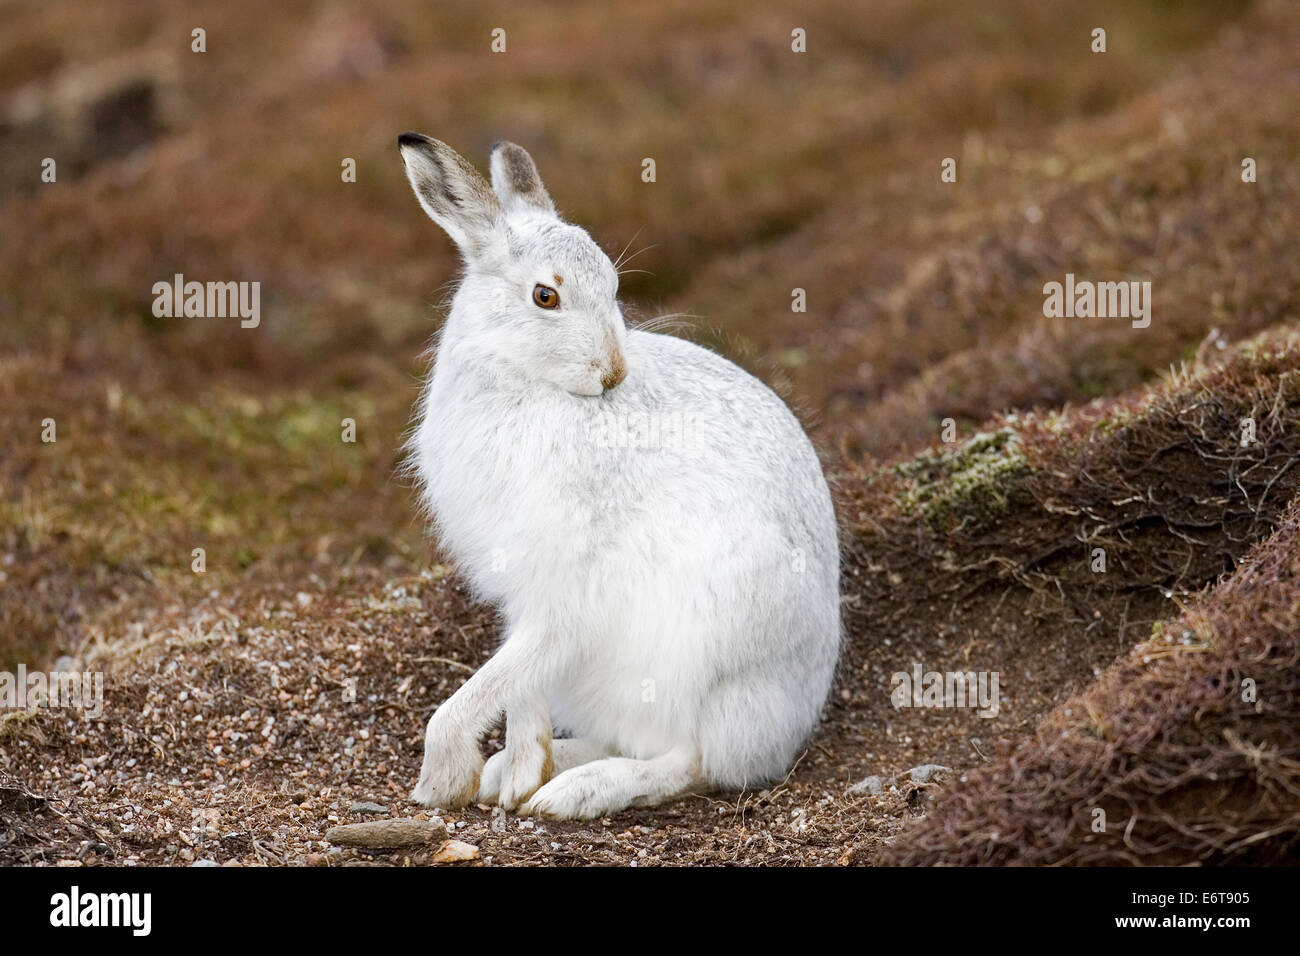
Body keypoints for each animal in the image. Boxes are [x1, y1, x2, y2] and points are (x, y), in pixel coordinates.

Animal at [397, 132, 841, 820]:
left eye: (611, 284)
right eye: (545, 296)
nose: (613, 372)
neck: (534, 386)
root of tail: (794, 720)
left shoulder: (564, 586)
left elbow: (501, 676)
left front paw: (442, 780)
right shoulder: (525, 593)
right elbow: (521, 678)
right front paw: (518, 771)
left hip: (700, 665)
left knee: (691, 763)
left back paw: (577, 792)